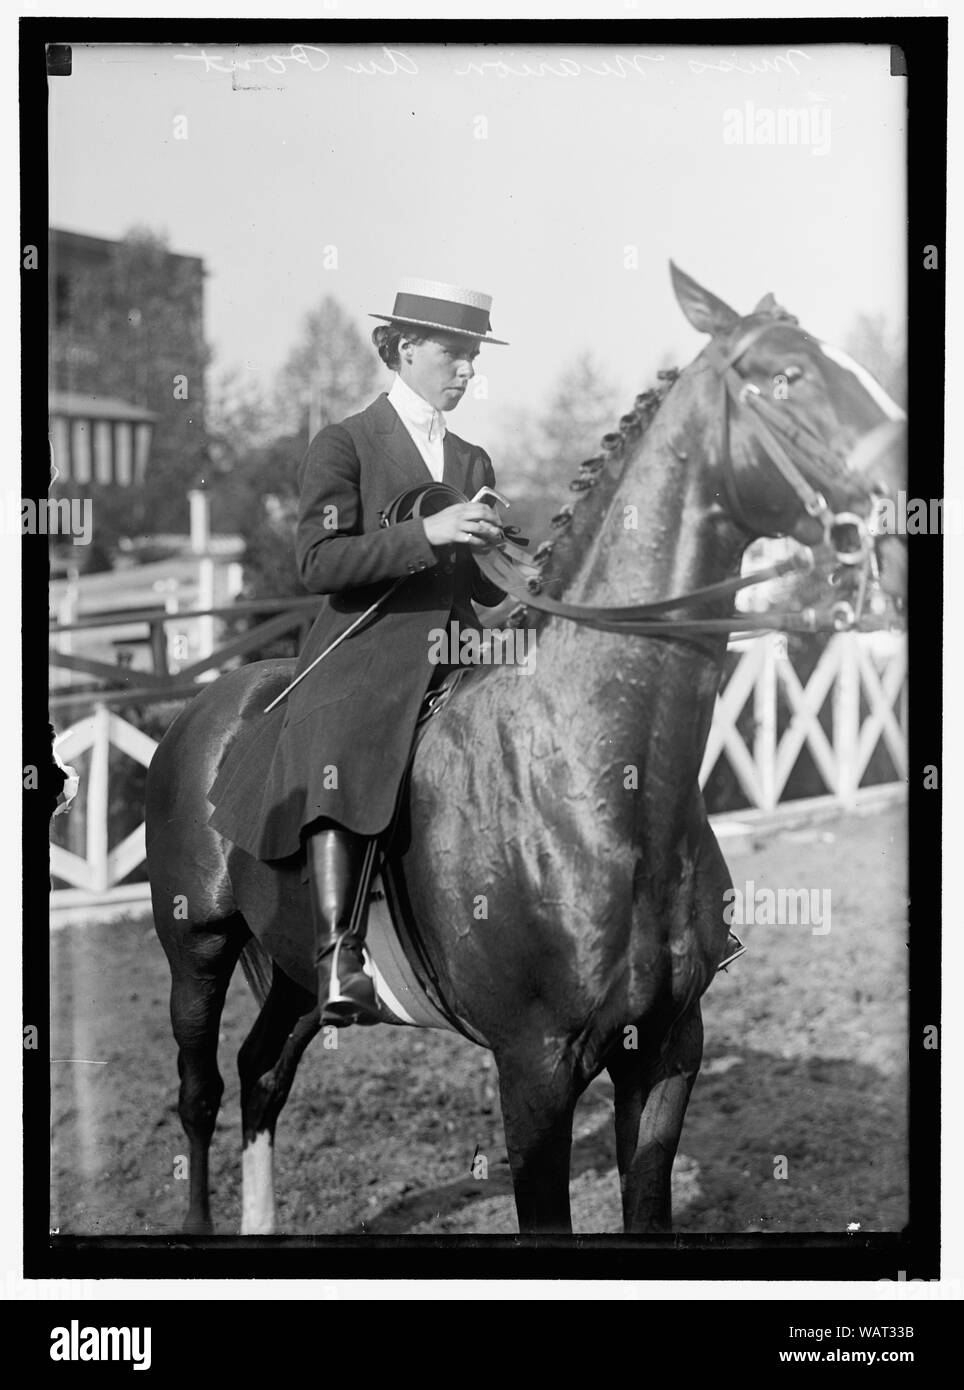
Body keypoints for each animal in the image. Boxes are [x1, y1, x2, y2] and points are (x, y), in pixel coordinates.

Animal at [145, 263, 901, 1235]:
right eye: (787, 375)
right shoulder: (535, 1070)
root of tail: (201, 711)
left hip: (288, 966)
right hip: (196, 948)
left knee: (261, 1074)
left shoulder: (667, 1050)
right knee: (200, 1091)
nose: (906, 511)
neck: (600, 781)